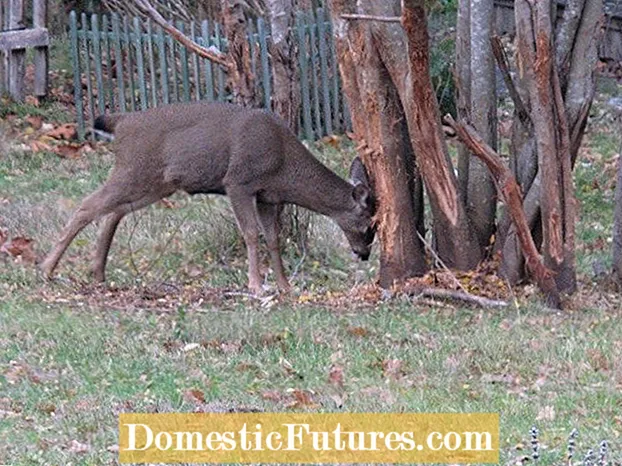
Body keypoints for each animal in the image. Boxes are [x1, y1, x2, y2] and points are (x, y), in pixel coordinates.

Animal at [42, 100, 380, 294]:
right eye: (368, 224)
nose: (363, 254)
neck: (284, 165)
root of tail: (121, 123)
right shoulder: (239, 181)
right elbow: (251, 234)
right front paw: (256, 285)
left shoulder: (268, 196)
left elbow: (273, 238)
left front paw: (285, 286)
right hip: (135, 168)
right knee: (87, 205)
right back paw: (46, 269)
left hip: (156, 182)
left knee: (112, 212)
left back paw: (97, 273)